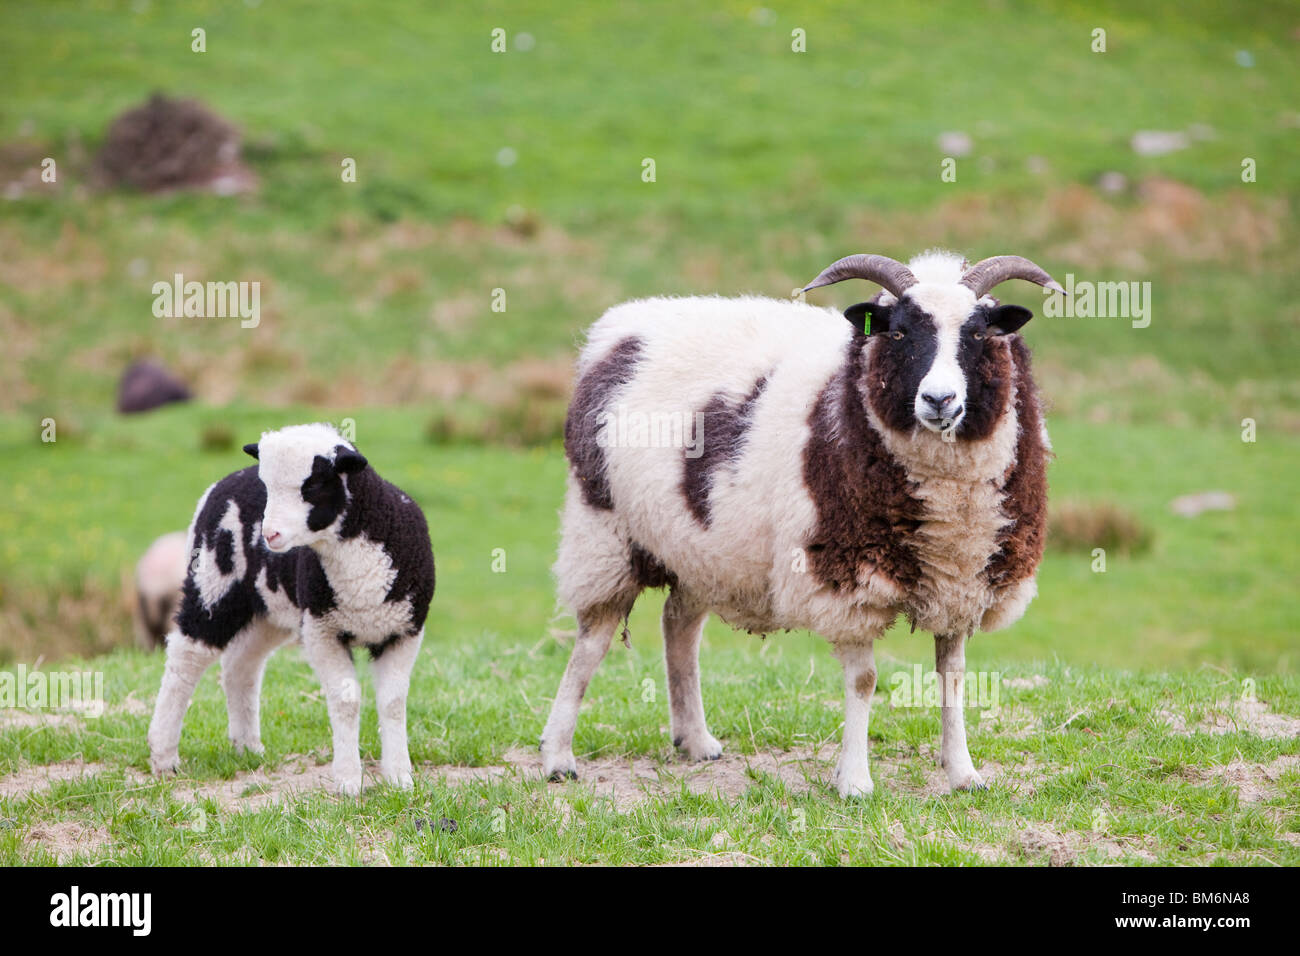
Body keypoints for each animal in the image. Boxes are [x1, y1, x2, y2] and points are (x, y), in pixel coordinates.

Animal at [147, 423, 435, 795]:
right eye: (268, 486)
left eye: (312, 484)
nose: (269, 535)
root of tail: (224, 481)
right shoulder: (322, 630)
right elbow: (346, 702)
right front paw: (347, 781)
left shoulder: (404, 630)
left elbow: (393, 703)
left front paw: (399, 778)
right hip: (213, 584)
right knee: (185, 661)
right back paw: (164, 755)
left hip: (269, 610)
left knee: (240, 665)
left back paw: (247, 748)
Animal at [541, 250, 1061, 797]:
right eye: (897, 332)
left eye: (980, 333)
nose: (939, 400)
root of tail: (615, 329)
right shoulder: (847, 580)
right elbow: (864, 681)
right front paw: (855, 781)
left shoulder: (963, 580)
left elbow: (953, 676)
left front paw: (963, 772)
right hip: (603, 529)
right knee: (592, 641)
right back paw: (557, 756)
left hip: (699, 547)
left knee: (678, 625)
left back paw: (695, 741)